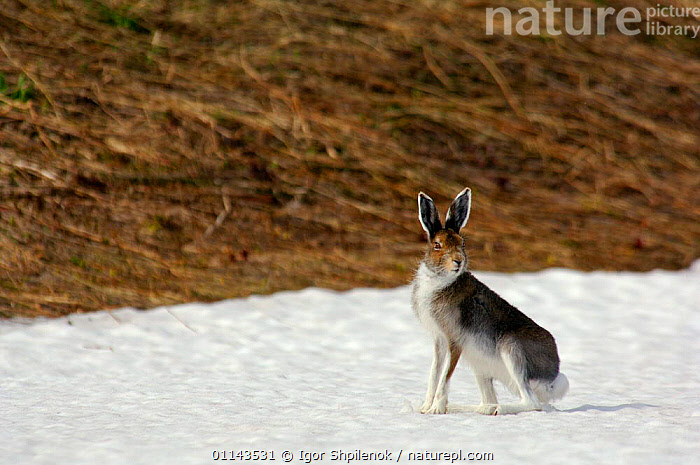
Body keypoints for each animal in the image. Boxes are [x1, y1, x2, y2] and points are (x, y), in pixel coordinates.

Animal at [411, 187, 568, 415]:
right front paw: (424, 409)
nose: (458, 261)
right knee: (487, 400)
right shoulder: (439, 340)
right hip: (480, 366)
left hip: (512, 349)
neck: (440, 280)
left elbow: (444, 378)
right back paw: (470, 408)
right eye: (437, 245)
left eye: (462, 243)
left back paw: (499, 409)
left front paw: (436, 409)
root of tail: (552, 378)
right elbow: (434, 374)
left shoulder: (455, 342)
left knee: (531, 403)